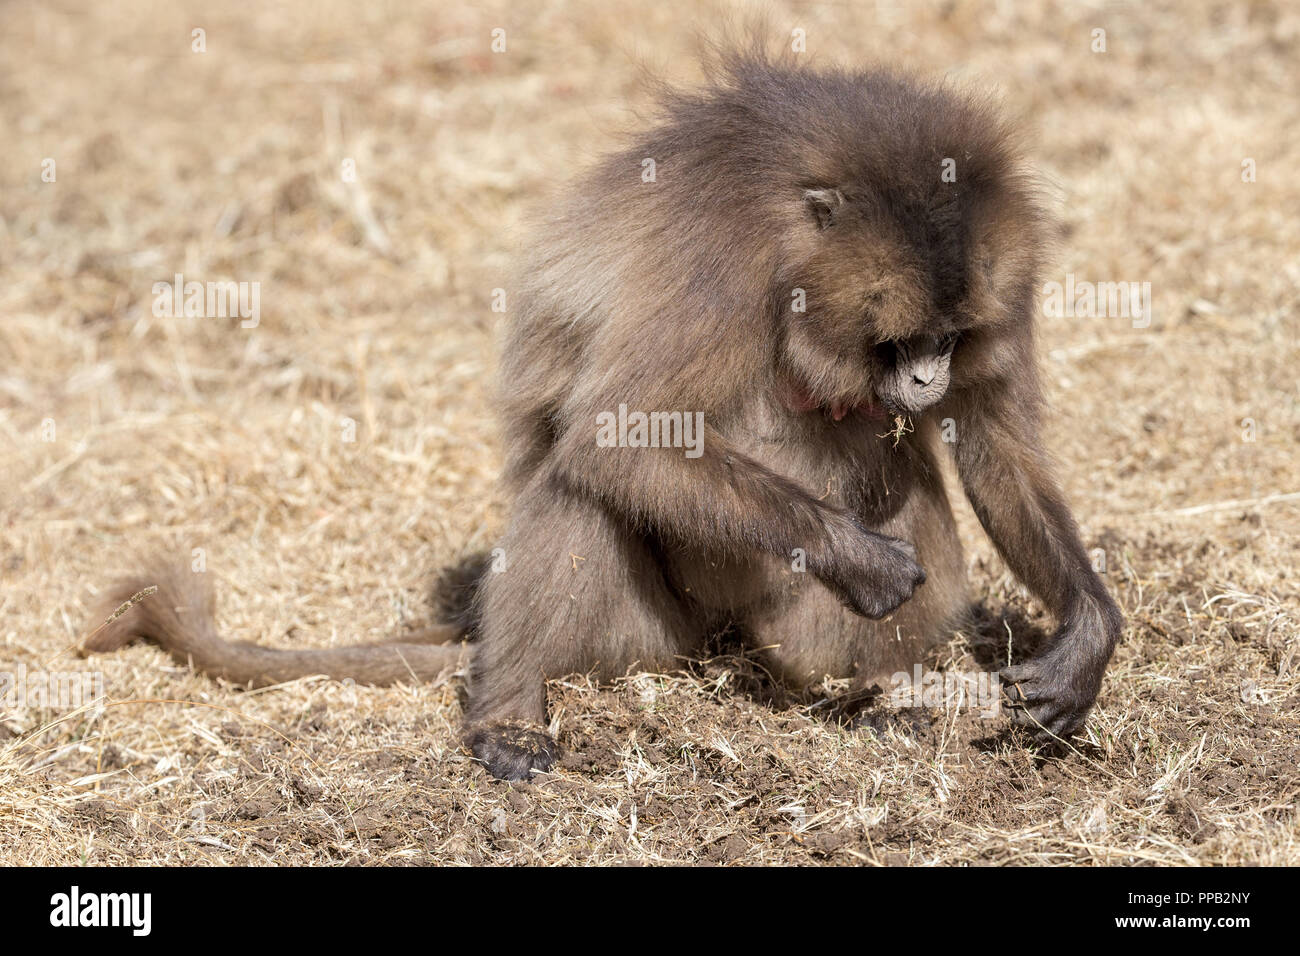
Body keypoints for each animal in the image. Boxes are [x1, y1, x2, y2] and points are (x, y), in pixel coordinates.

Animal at [86, 51, 1123, 782]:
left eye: (951, 335)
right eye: (896, 341)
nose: (925, 382)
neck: (799, 233)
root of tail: (722, 647)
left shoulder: (1008, 276)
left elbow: (996, 447)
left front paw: (1085, 635)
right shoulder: (720, 260)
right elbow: (616, 436)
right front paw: (864, 560)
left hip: (783, 639)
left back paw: (884, 692)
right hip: (644, 640)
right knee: (577, 488)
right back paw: (509, 712)